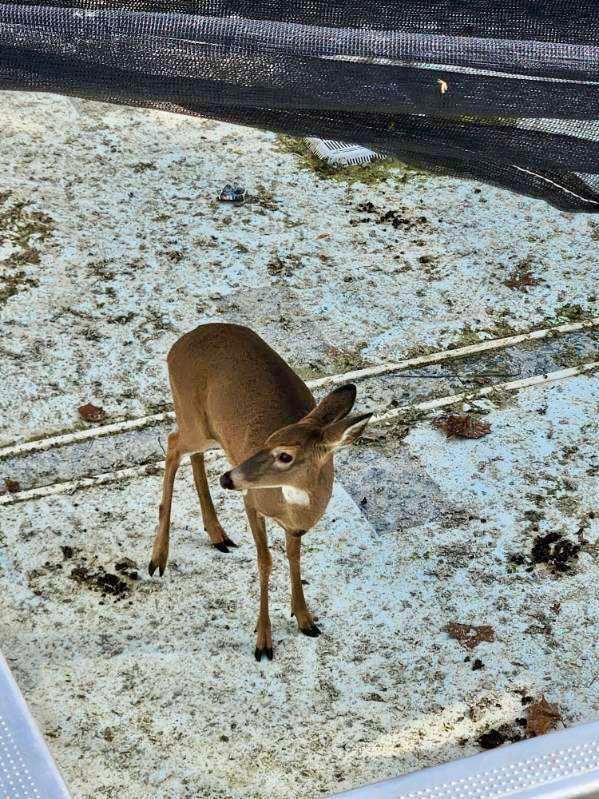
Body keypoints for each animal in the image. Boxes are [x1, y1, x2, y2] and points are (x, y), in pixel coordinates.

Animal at [149, 323, 372, 661]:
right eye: (267, 440)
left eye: (285, 455)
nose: (228, 479)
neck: (294, 506)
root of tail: (179, 344)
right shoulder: (252, 501)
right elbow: (265, 560)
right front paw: (264, 641)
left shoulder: (296, 526)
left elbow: (294, 557)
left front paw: (305, 618)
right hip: (192, 418)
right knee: (173, 444)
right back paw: (158, 558)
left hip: (204, 427)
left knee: (191, 453)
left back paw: (217, 534)